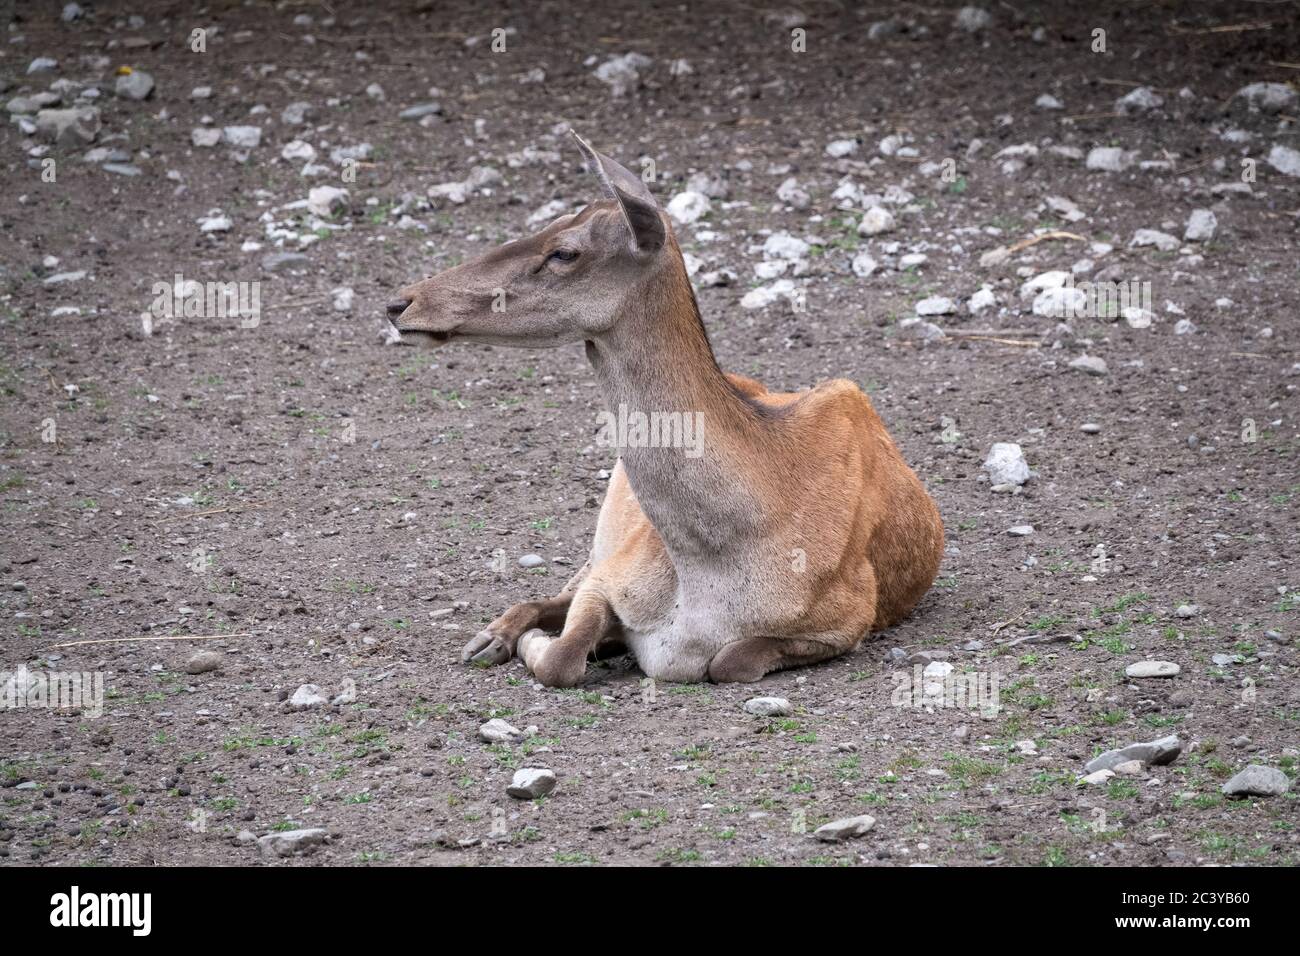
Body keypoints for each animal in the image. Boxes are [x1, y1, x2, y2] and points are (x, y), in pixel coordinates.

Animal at [386, 133, 945, 687]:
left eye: (565, 252)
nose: (399, 302)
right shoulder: (612, 571)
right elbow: (563, 654)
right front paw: (548, 641)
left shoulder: (850, 617)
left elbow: (730, 661)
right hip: (598, 544)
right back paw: (489, 638)